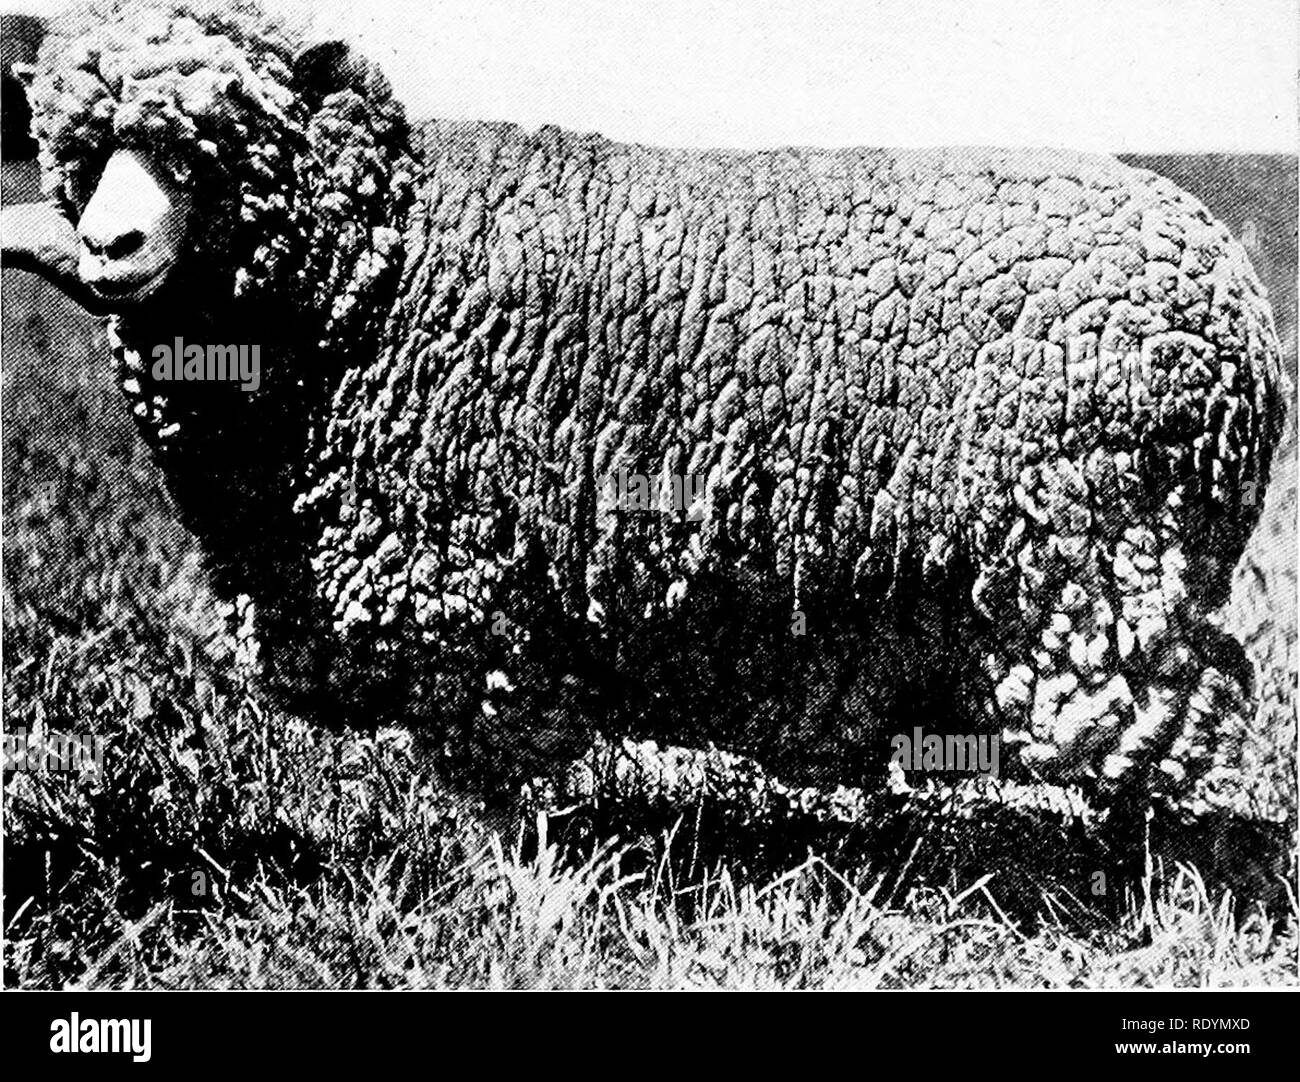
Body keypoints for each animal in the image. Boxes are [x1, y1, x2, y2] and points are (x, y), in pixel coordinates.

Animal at [3, 0, 1287, 827]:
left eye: (208, 146)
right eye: (79, 151)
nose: (112, 247)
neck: (378, 260)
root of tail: (1236, 296)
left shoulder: (470, 596)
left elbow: (496, 778)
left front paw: (501, 888)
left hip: (1093, 555)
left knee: (1189, 728)